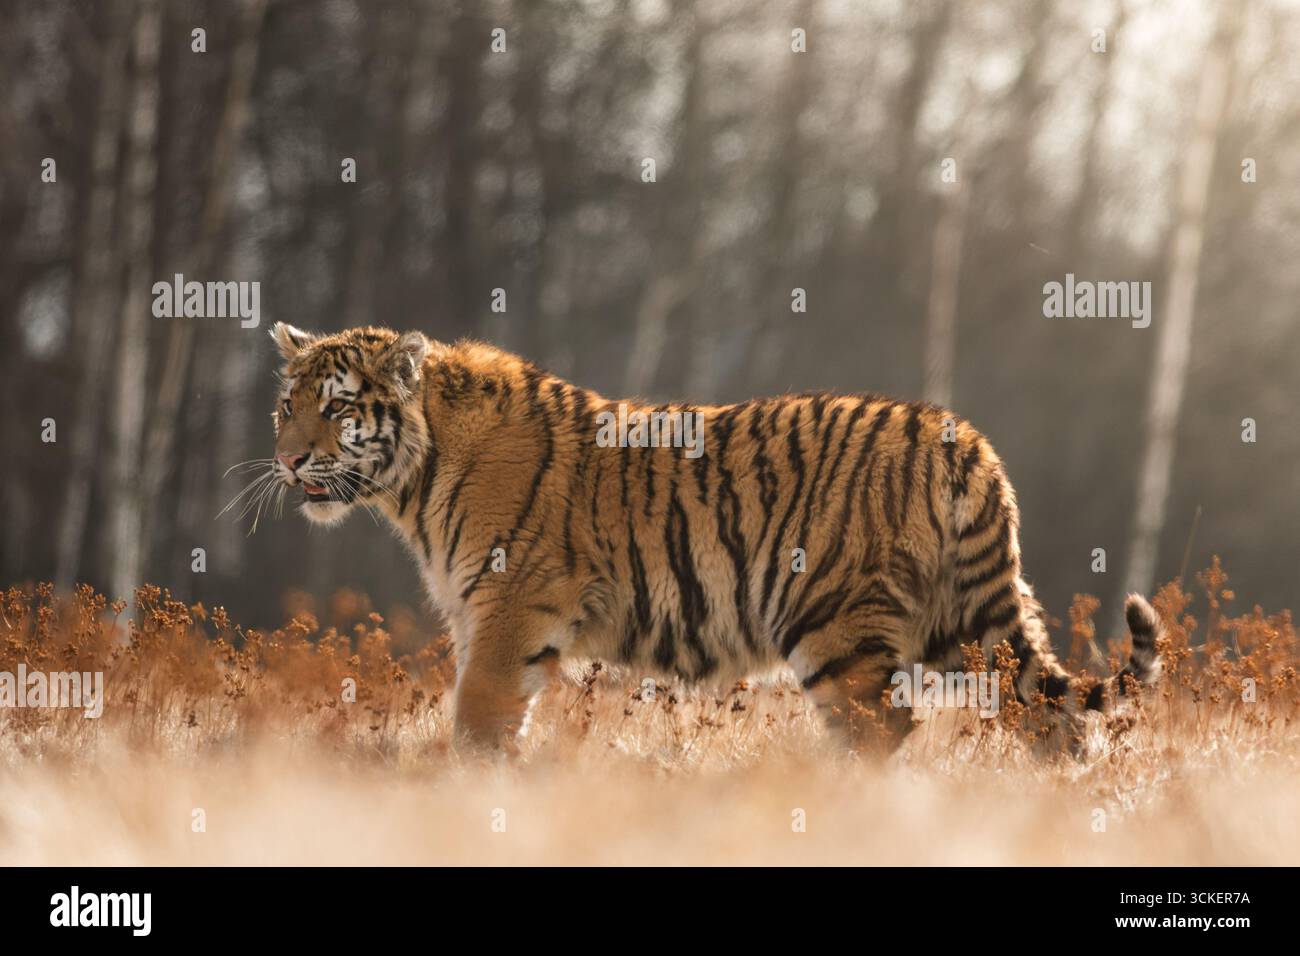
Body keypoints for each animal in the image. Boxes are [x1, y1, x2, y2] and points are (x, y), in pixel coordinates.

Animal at [265, 322, 1162, 753]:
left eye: (338, 407)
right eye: (286, 405)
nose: (287, 458)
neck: (416, 477)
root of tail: (962, 437)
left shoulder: (509, 613)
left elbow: (477, 722)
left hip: (836, 624)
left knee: (886, 731)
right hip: (968, 626)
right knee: (1054, 721)